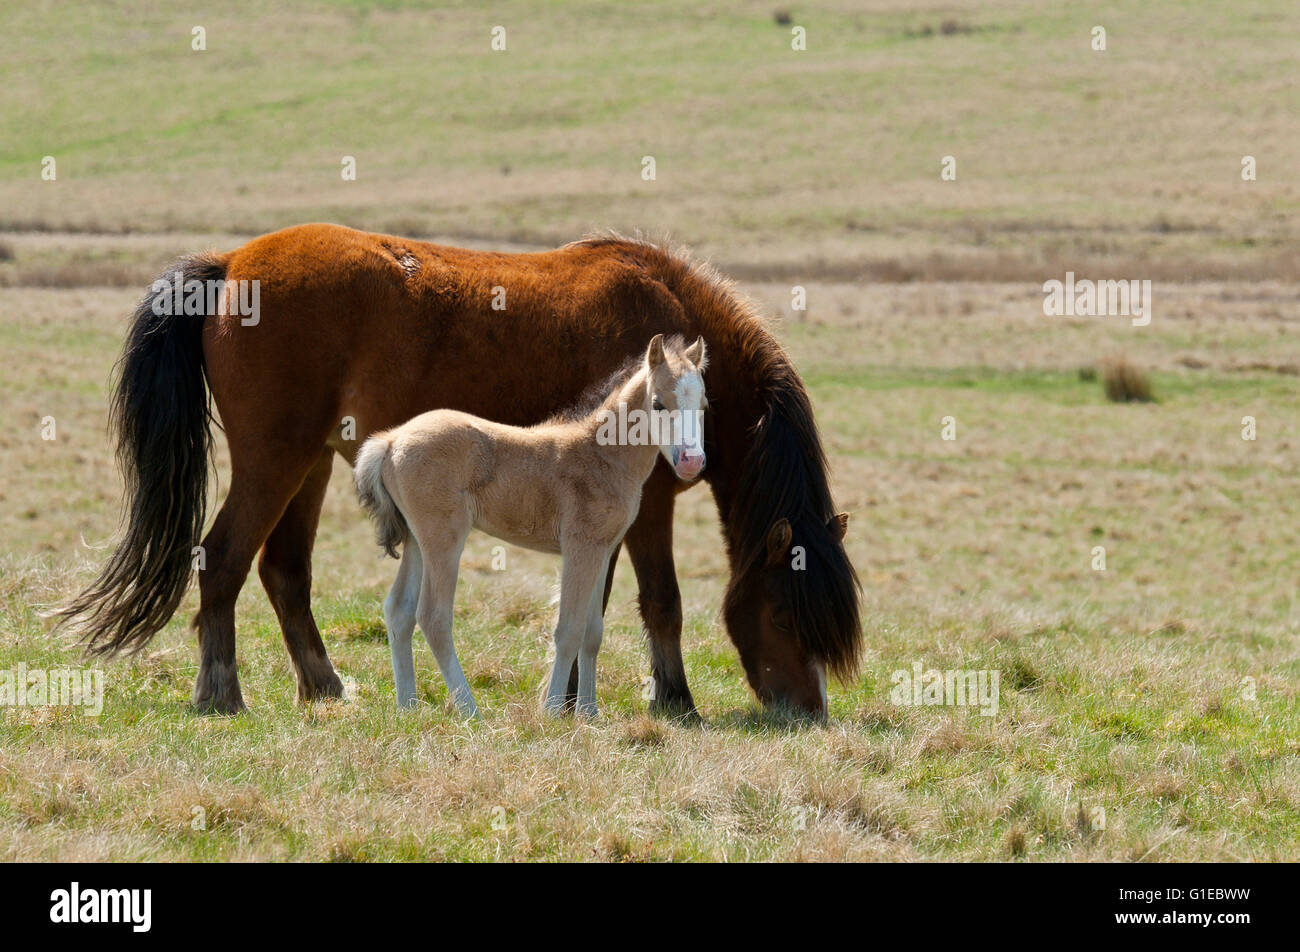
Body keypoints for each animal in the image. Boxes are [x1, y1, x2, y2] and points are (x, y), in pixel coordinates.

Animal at [355, 334, 708, 717]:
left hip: (416, 540)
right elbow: (568, 629)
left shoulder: (603, 550)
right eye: (658, 404)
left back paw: (408, 706)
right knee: (433, 616)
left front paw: (589, 713)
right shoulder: (580, 546)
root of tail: (390, 440)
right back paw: (470, 709)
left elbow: (592, 632)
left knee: (398, 610)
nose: (691, 462)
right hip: (443, 538)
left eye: (703, 404)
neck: (603, 455)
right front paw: (553, 710)